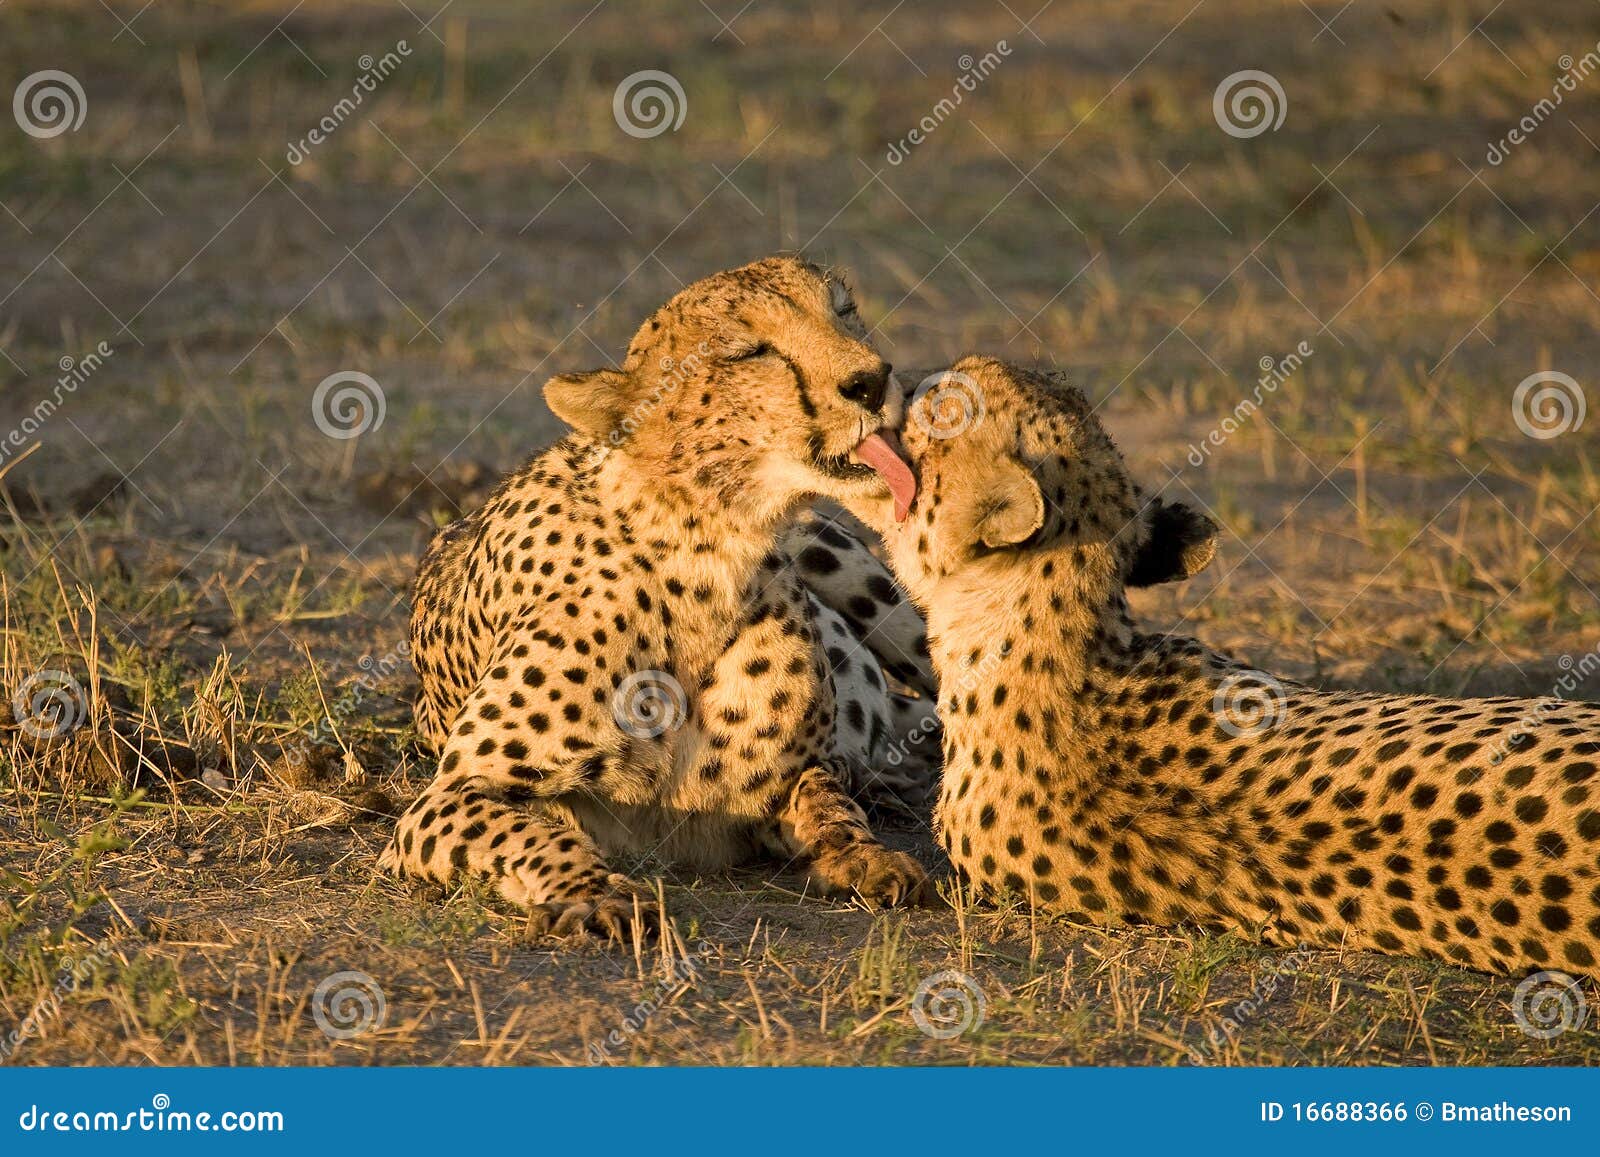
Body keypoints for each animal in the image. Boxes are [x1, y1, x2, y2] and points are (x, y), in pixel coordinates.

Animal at [378, 256, 940, 939]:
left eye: (844, 312)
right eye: (750, 351)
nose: (873, 381)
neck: (704, 554)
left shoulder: (798, 772)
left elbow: (828, 802)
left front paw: (866, 855)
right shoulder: (449, 794)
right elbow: (531, 833)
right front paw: (594, 892)